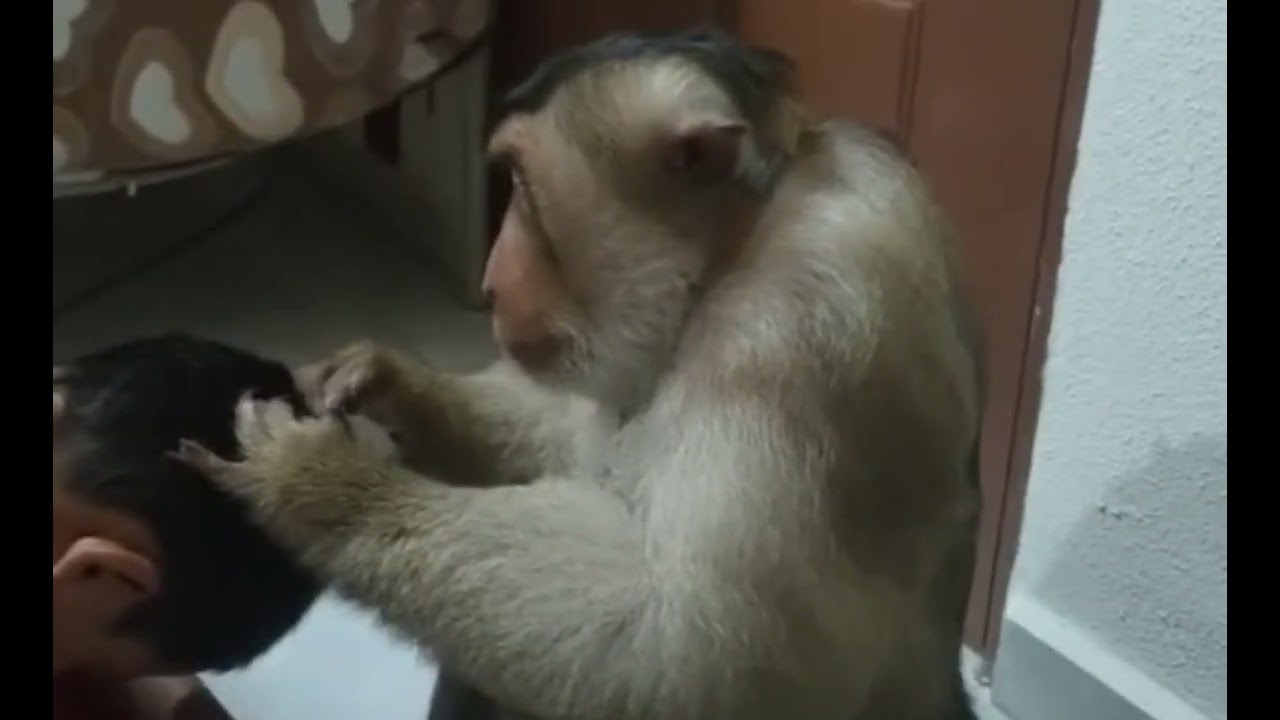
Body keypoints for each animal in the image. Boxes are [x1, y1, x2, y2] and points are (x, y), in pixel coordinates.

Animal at [176, 28, 985, 720]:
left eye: (522, 188)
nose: (492, 279)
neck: (727, 260)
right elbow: (562, 445)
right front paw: (388, 380)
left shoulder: (804, 320)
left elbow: (696, 662)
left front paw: (324, 485)